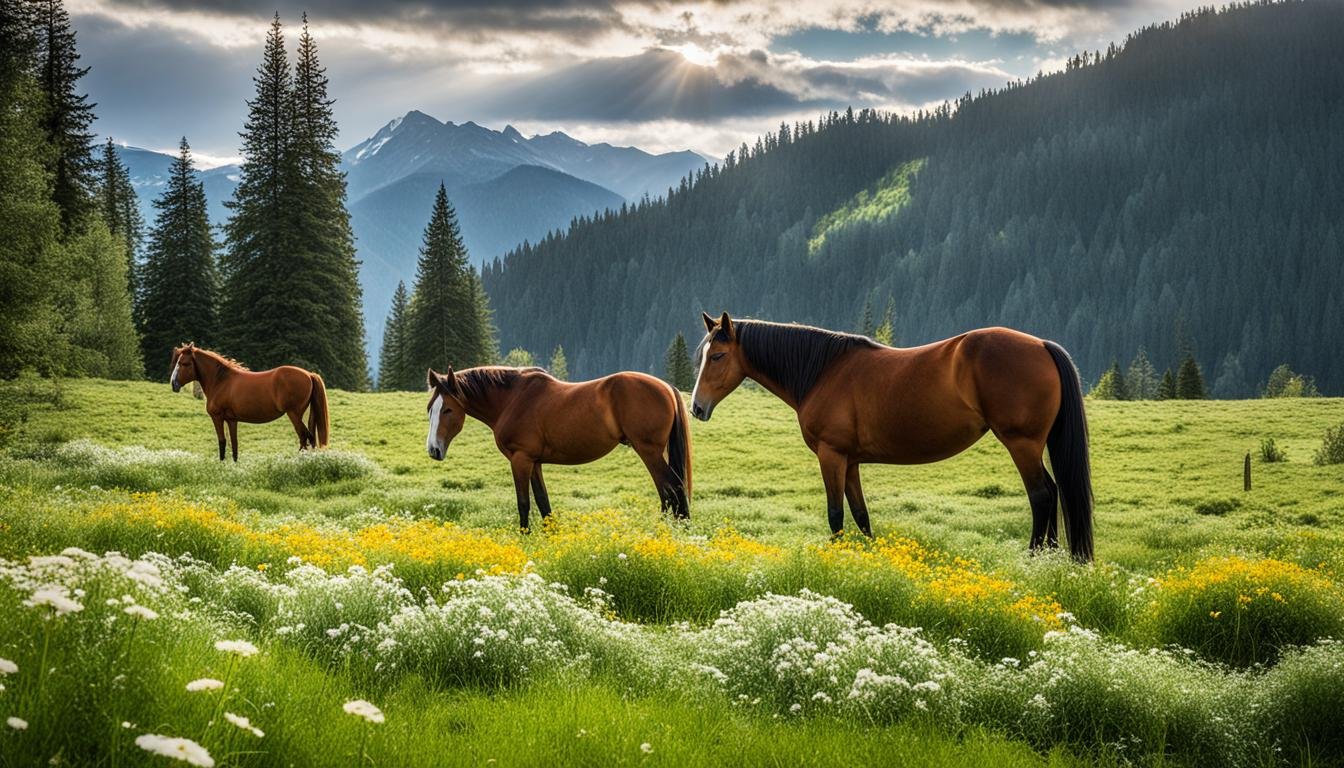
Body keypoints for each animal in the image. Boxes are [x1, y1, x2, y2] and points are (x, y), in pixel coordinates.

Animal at [169, 343, 330, 461]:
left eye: (184, 363)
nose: (173, 384)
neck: (221, 381)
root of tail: (309, 374)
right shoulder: (232, 420)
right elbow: (234, 444)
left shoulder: (217, 417)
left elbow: (222, 441)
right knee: (309, 438)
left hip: (293, 414)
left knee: (304, 436)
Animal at [425, 365, 691, 531]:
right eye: (430, 408)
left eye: (447, 409)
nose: (433, 450)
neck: (513, 399)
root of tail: (667, 387)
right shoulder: (535, 462)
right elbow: (543, 502)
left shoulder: (520, 460)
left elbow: (524, 503)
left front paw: (525, 538)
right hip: (654, 452)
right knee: (667, 492)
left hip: (648, 450)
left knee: (674, 487)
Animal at [690, 312, 1094, 561]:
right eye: (705, 355)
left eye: (718, 356)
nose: (696, 408)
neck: (822, 371)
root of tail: (1041, 344)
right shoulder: (850, 461)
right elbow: (861, 515)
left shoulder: (831, 455)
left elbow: (836, 515)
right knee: (1053, 492)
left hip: (1021, 443)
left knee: (1042, 495)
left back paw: (1034, 557)